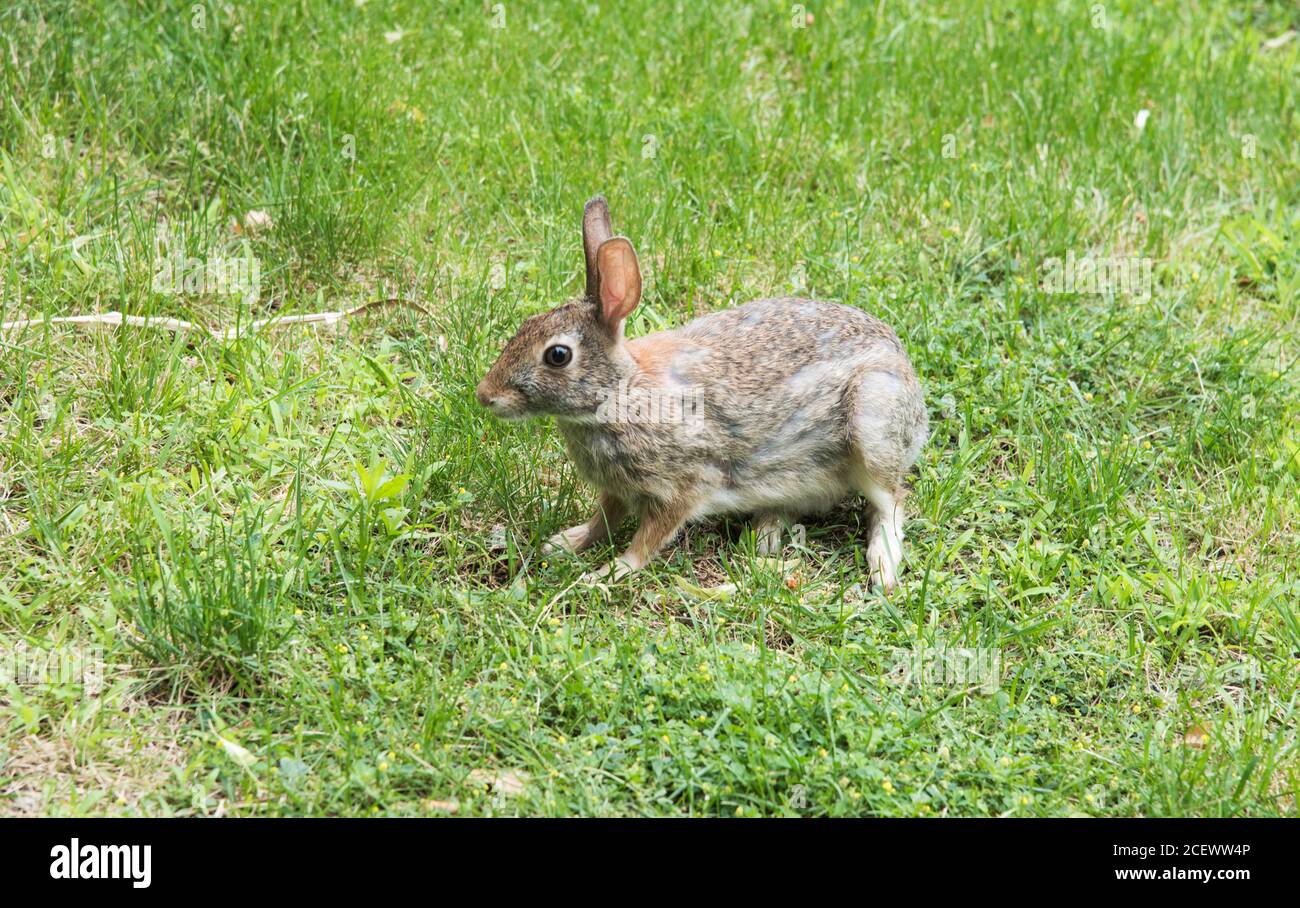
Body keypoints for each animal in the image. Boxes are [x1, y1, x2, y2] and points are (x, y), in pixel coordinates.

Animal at [475, 196, 928, 590]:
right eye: (525, 325)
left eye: (557, 355)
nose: (485, 396)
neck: (620, 394)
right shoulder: (618, 489)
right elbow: (603, 519)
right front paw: (565, 543)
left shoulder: (683, 486)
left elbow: (648, 539)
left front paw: (609, 572)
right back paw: (764, 535)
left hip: (873, 421)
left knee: (891, 500)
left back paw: (881, 567)